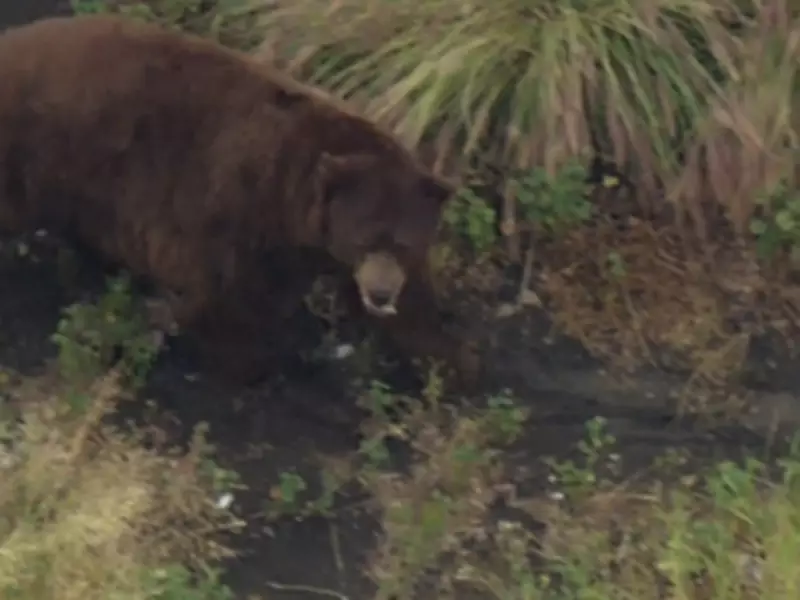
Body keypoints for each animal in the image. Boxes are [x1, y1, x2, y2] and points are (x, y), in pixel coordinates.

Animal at [0, 14, 480, 387]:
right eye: (364, 238)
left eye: (402, 241)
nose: (380, 293)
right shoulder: (243, 211)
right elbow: (234, 296)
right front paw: (259, 359)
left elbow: (415, 307)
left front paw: (452, 358)